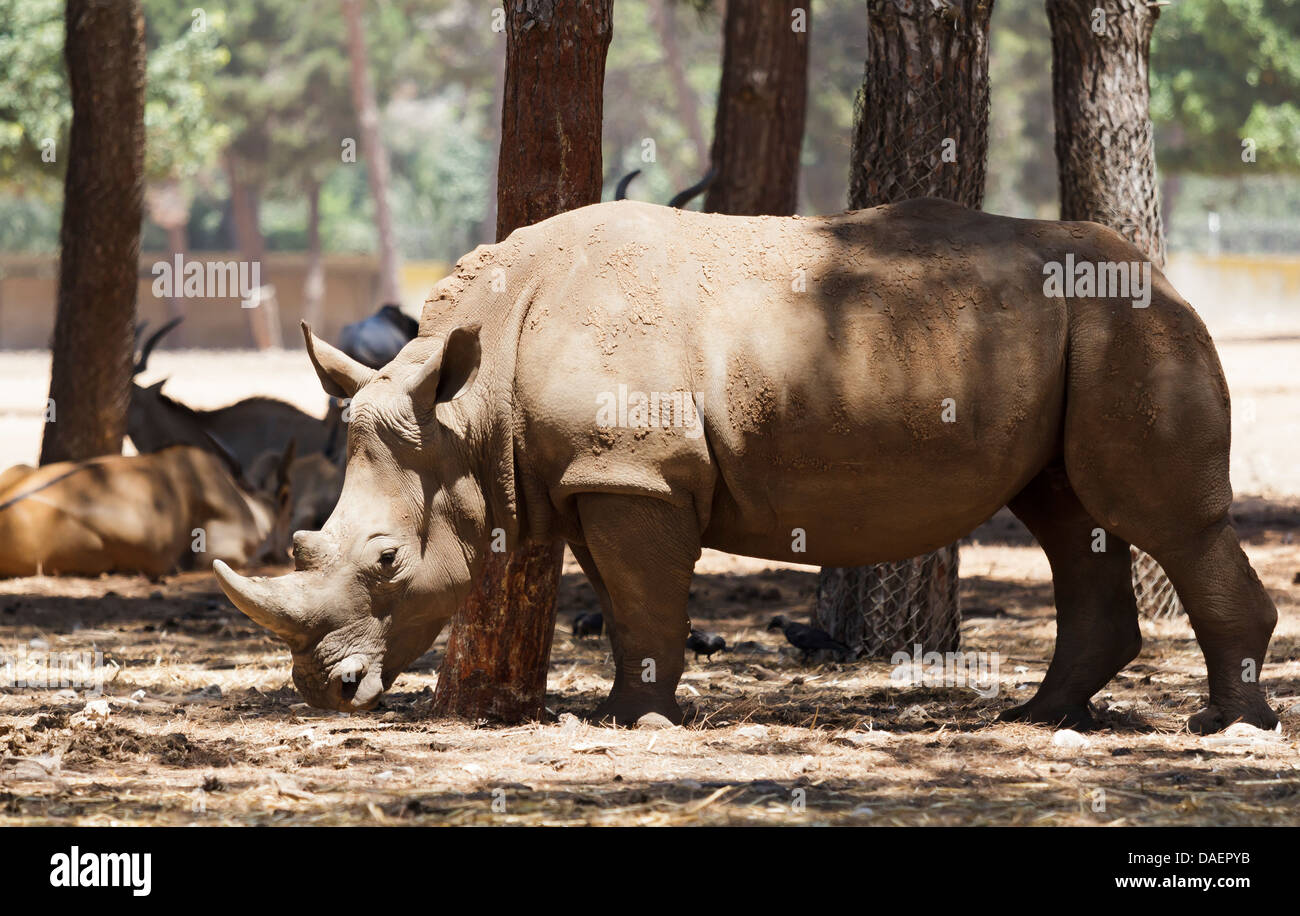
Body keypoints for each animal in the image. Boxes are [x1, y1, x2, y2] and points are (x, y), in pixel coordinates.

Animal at [214, 197, 1279, 734]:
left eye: (387, 561)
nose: (325, 693)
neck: (470, 405)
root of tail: (1163, 275)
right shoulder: (605, 472)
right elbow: (626, 602)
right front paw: (624, 712)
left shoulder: (632, 471)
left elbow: (646, 598)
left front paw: (640, 726)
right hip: (1086, 330)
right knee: (1067, 516)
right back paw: (1039, 717)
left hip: (1128, 323)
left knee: (1158, 518)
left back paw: (1226, 730)